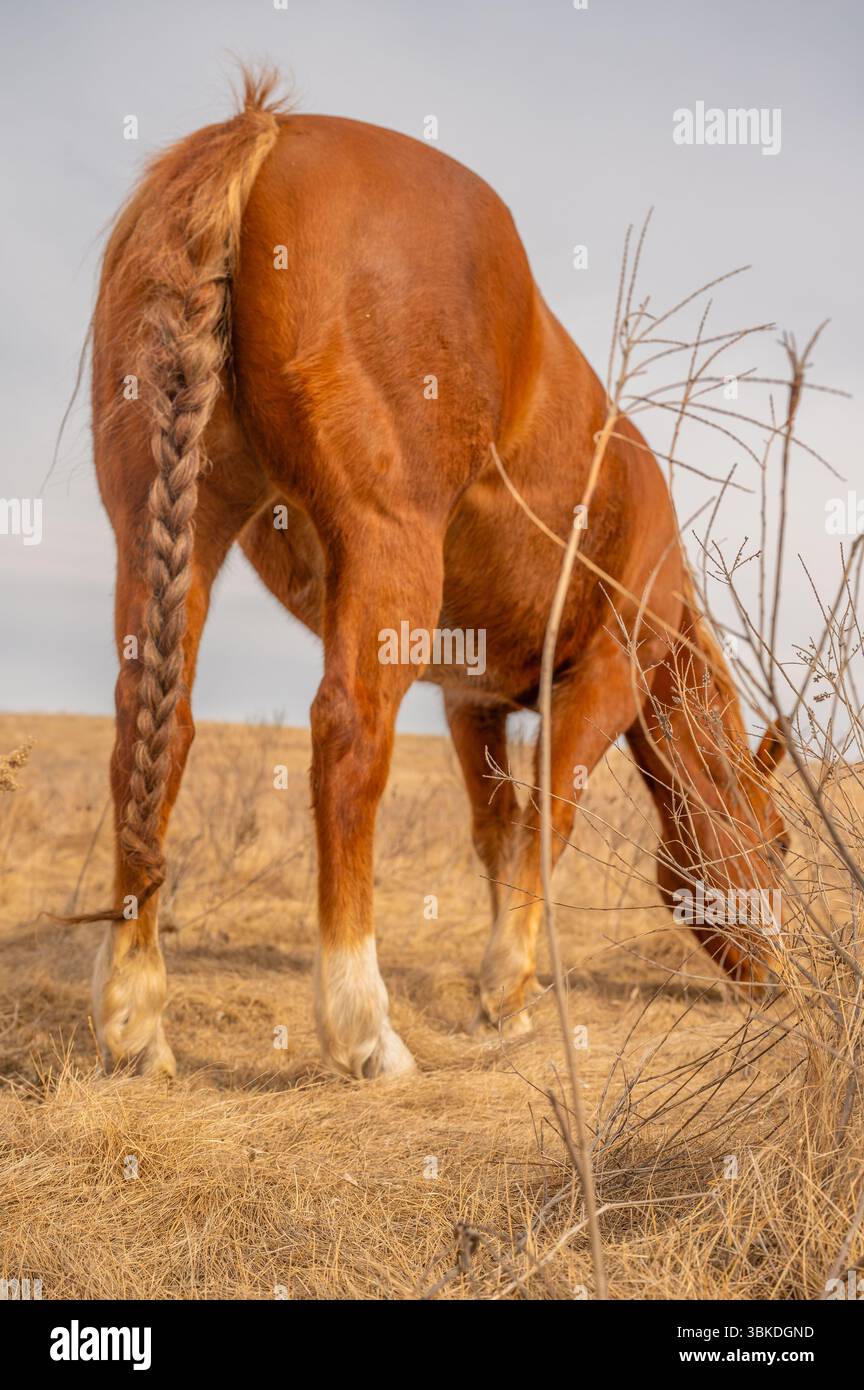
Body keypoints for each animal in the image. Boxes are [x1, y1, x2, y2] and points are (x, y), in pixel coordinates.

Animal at [82, 68, 787, 1080]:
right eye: (777, 843)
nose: (783, 980)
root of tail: (267, 133)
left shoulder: (471, 699)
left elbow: (498, 832)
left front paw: (507, 996)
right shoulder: (603, 680)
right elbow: (549, 820)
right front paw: (509, 987)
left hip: (166, 531)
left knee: (155, 728)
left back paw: (136, 1020)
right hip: (385, 552)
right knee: (347, 739)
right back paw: (363, 1030)